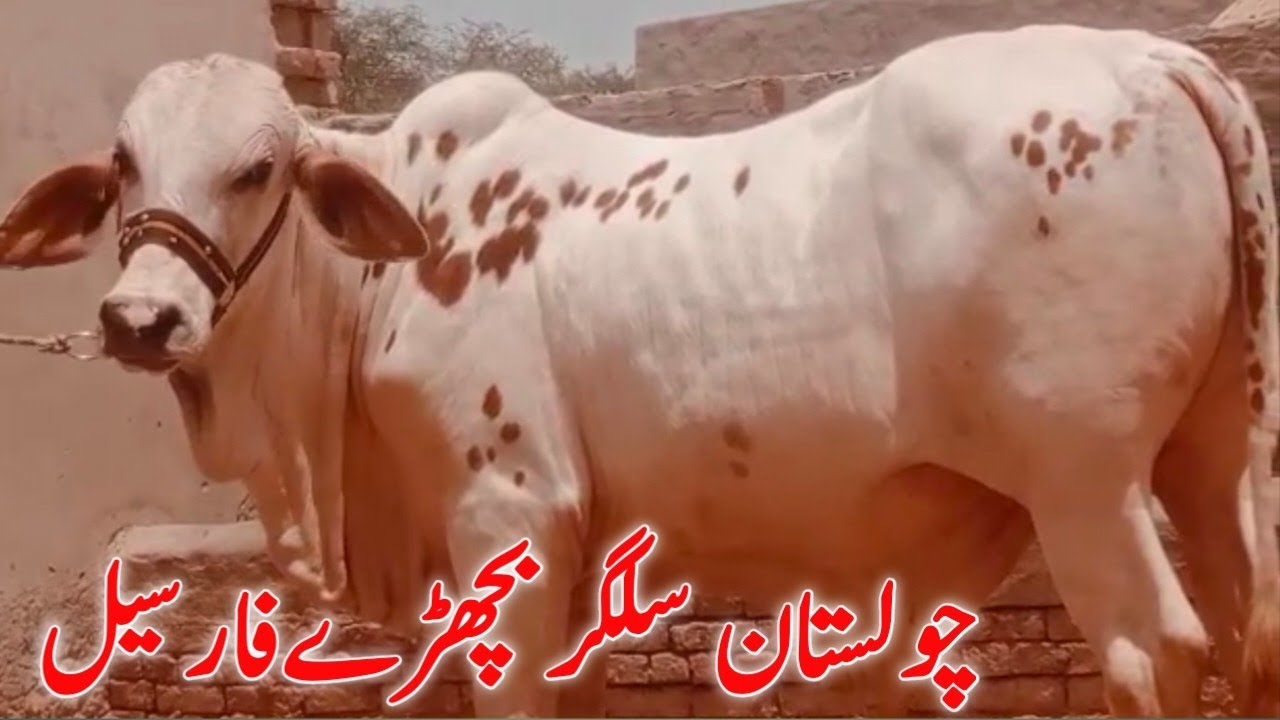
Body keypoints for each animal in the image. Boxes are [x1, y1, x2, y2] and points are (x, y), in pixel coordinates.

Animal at [1, 23, 1277, 718]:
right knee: (1244, 632)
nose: (141, 318)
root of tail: (1156, 57)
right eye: (123, 164)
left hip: (1084, 483)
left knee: (1152, 655)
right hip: (1212, 458)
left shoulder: (506, 510)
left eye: (258, 167)